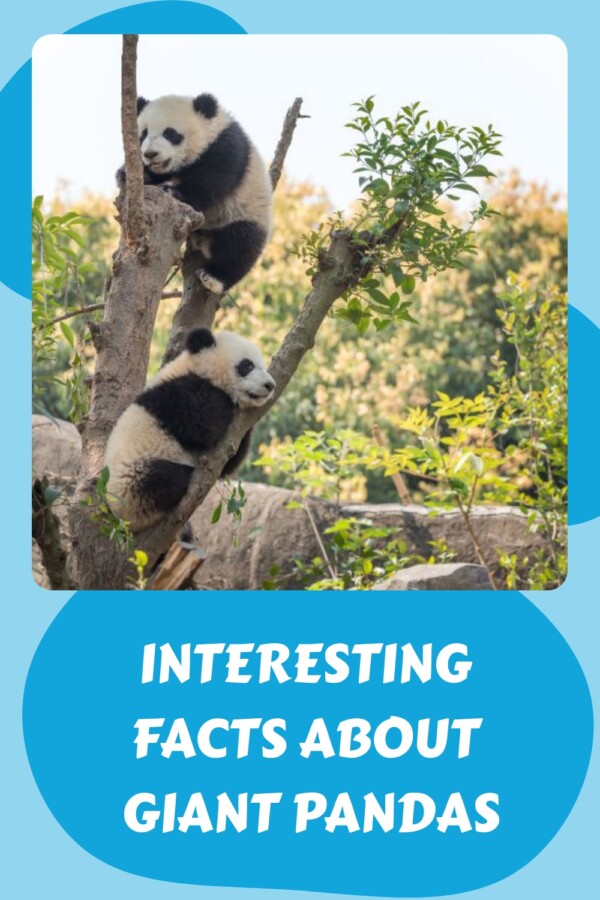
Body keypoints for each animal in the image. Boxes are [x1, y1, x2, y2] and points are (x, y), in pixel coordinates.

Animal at [104, 328, 275, 531]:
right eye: (247, 365)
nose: (270, 385)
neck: (195, 367)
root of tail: (128, 521)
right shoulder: (174, 395)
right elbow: (202, 426)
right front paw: (226, 401)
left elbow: (228, 460)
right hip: (133, 478)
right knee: (162, 479)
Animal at [130, 93, 273, 294]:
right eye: (143, 134)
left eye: (170, 133)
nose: (150, 154)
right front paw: (135, 175)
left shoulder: (225, 145)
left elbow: (213, 179)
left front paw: (173, 191)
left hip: (246, 214)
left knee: (241, 244)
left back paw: (214, 278)